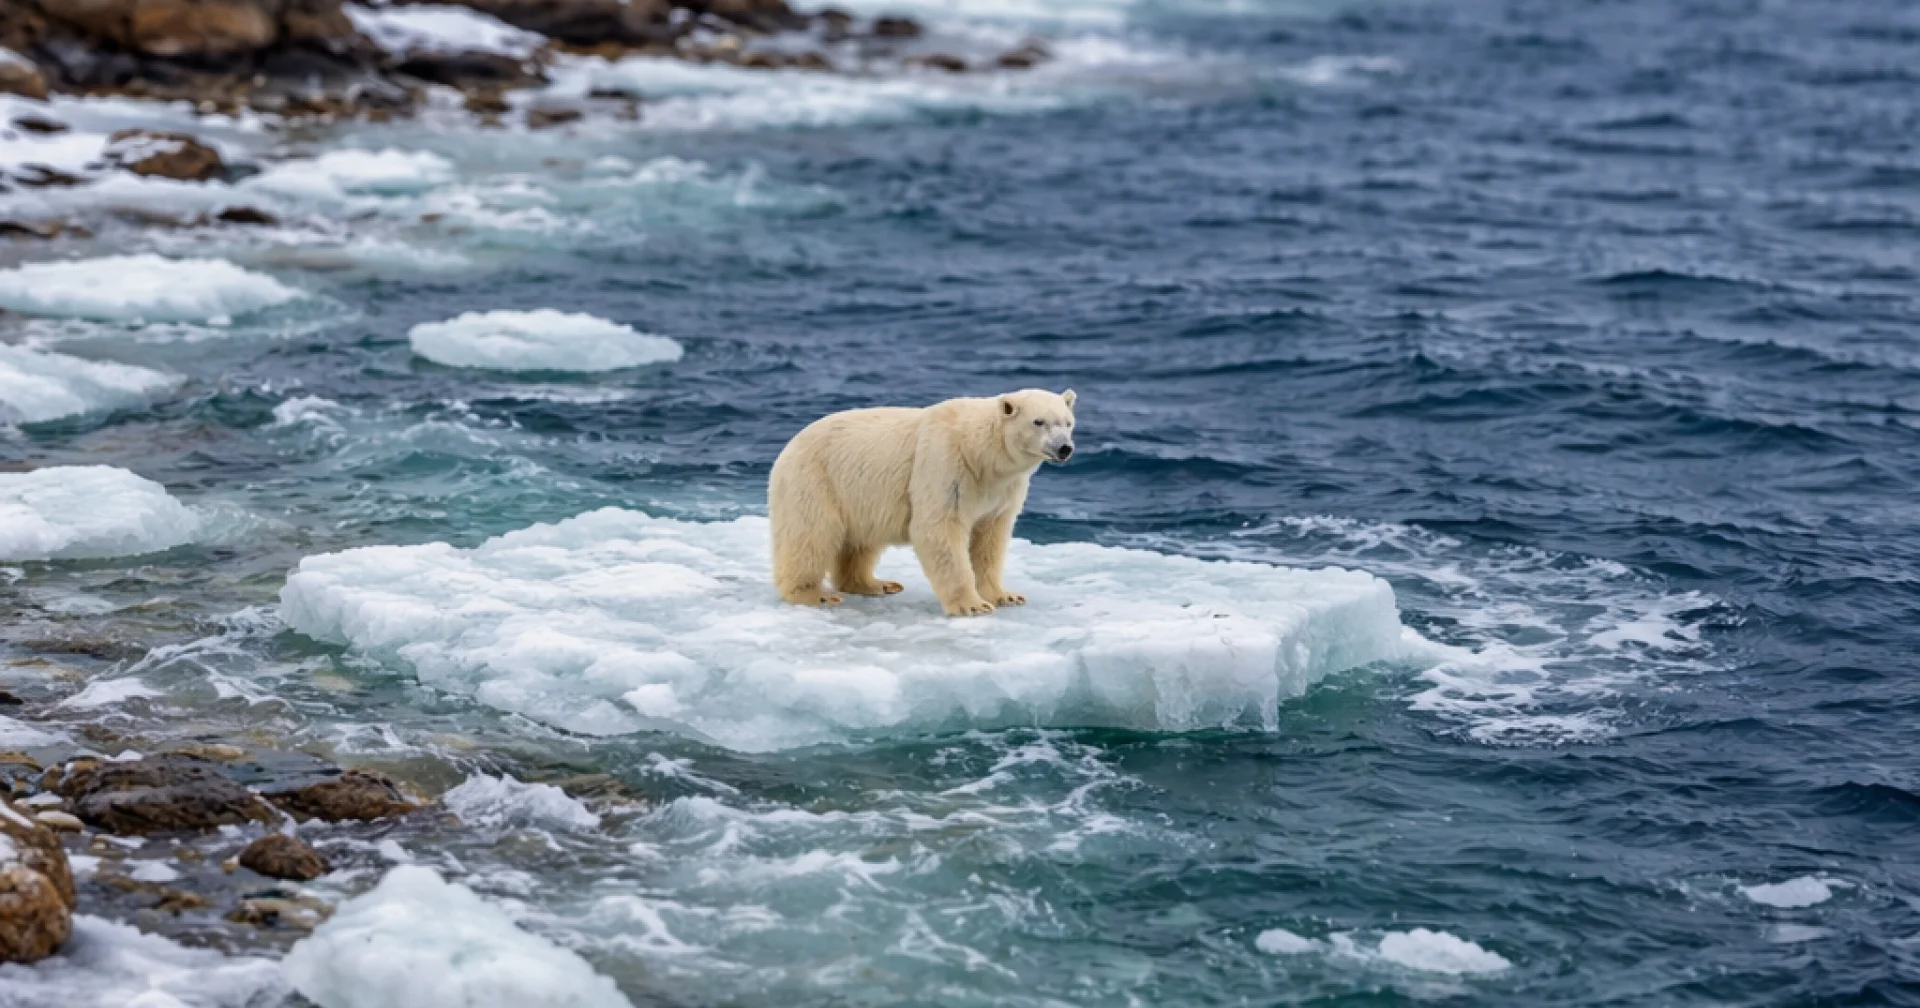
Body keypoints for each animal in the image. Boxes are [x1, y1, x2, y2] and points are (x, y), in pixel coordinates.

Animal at [769, 389, 1077, 616]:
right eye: (1039, 421)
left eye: (1068, 422)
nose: (1065, 448)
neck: (980, 454)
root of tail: (787, 447)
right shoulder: (946, 463)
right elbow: (938, 528)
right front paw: (972, 605)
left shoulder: (1003, 489)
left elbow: (990, 537)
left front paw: (1006, 596)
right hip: (815, 480)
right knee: (812, 535)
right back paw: (814, 594)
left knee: (861, 541)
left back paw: (877, 584)